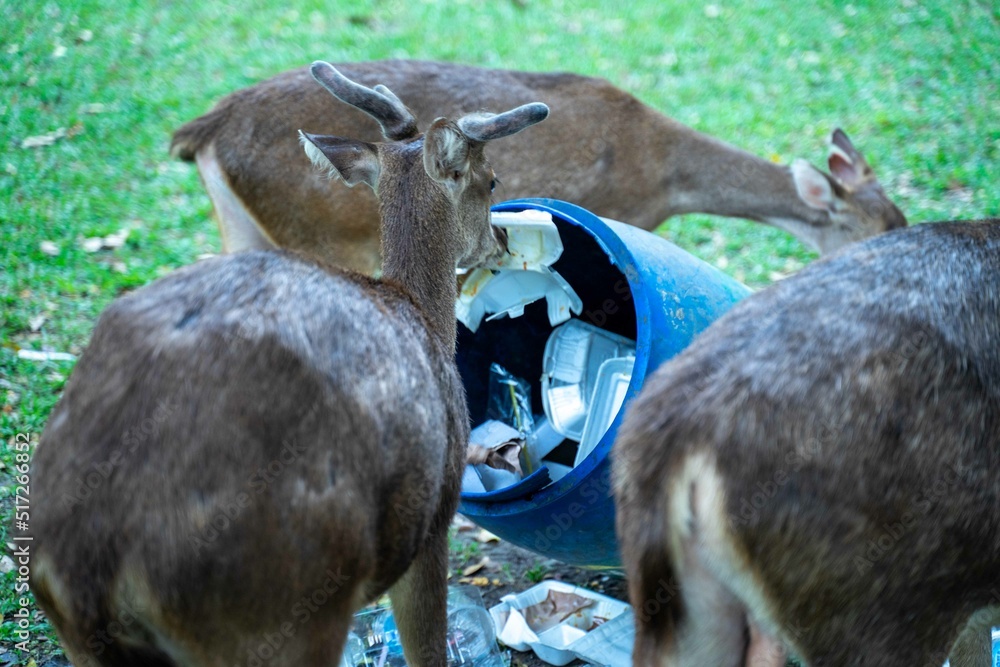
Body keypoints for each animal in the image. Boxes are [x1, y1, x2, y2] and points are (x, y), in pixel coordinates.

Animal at [28, 61, 548, 666]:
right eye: (492, 181)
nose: (502, 238)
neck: (421, 314)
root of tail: (91, 563)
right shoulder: (434, 518)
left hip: (87, 639)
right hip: (288, 607)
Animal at [170, 59, 907, 274]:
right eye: (880, 233)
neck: (666, 179)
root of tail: (203, 129)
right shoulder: (623, 210)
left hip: (242, 228)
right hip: (321, 233)